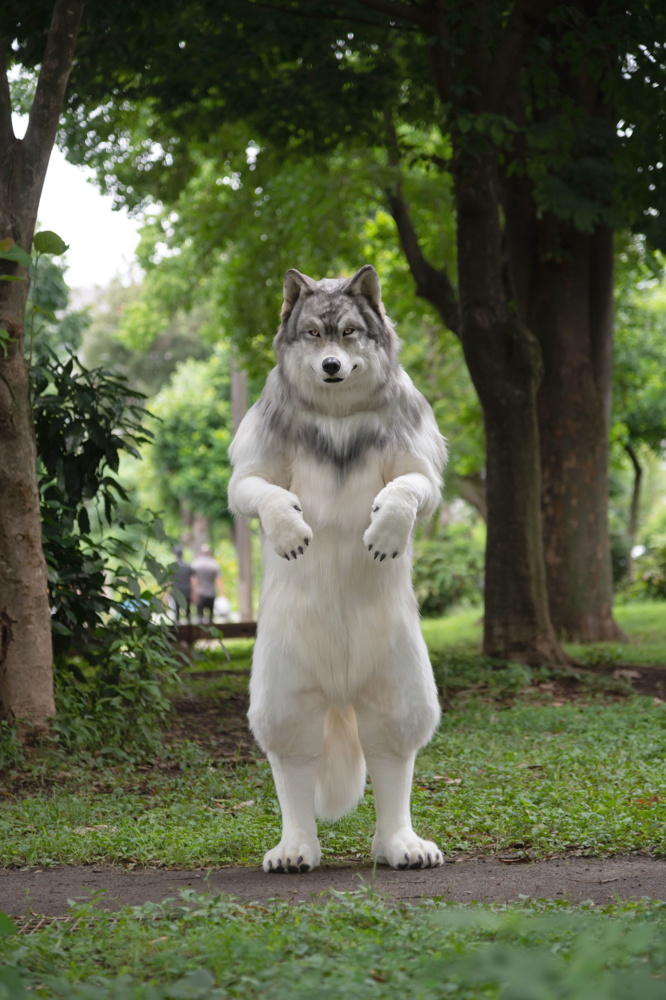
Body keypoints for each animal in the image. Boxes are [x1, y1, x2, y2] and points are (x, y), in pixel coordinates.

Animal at [228, 265, 447, 872]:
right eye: (312, 334)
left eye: (349, 333)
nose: (330, 366)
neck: (338, 414)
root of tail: (341, 688)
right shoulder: (255, 461)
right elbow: (257, 489)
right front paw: (287, 527)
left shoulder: (417, 458)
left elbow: (410, 487)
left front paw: (388, 526)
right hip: (286, 684)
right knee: (294, 755)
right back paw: (296, 847)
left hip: (397, 674)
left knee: (391, 746)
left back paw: (399, 843)